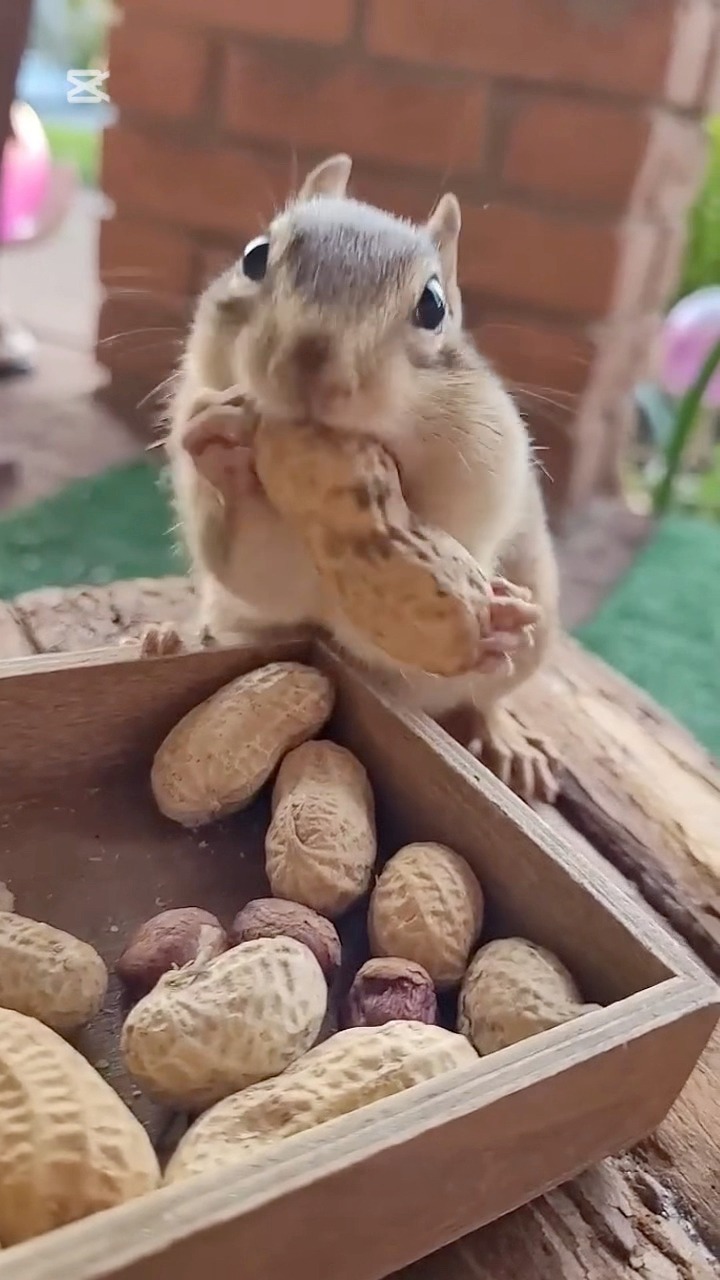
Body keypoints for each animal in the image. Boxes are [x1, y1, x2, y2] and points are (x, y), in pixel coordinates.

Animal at [154, 153, 561, 803]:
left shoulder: (478, 485)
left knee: (487, 698)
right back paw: (161, 638)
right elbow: (264, 573)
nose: (307, 362)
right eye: (254, 257)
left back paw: (507, 739)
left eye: (433, 306)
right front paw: (223, 447)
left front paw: (494, 623)